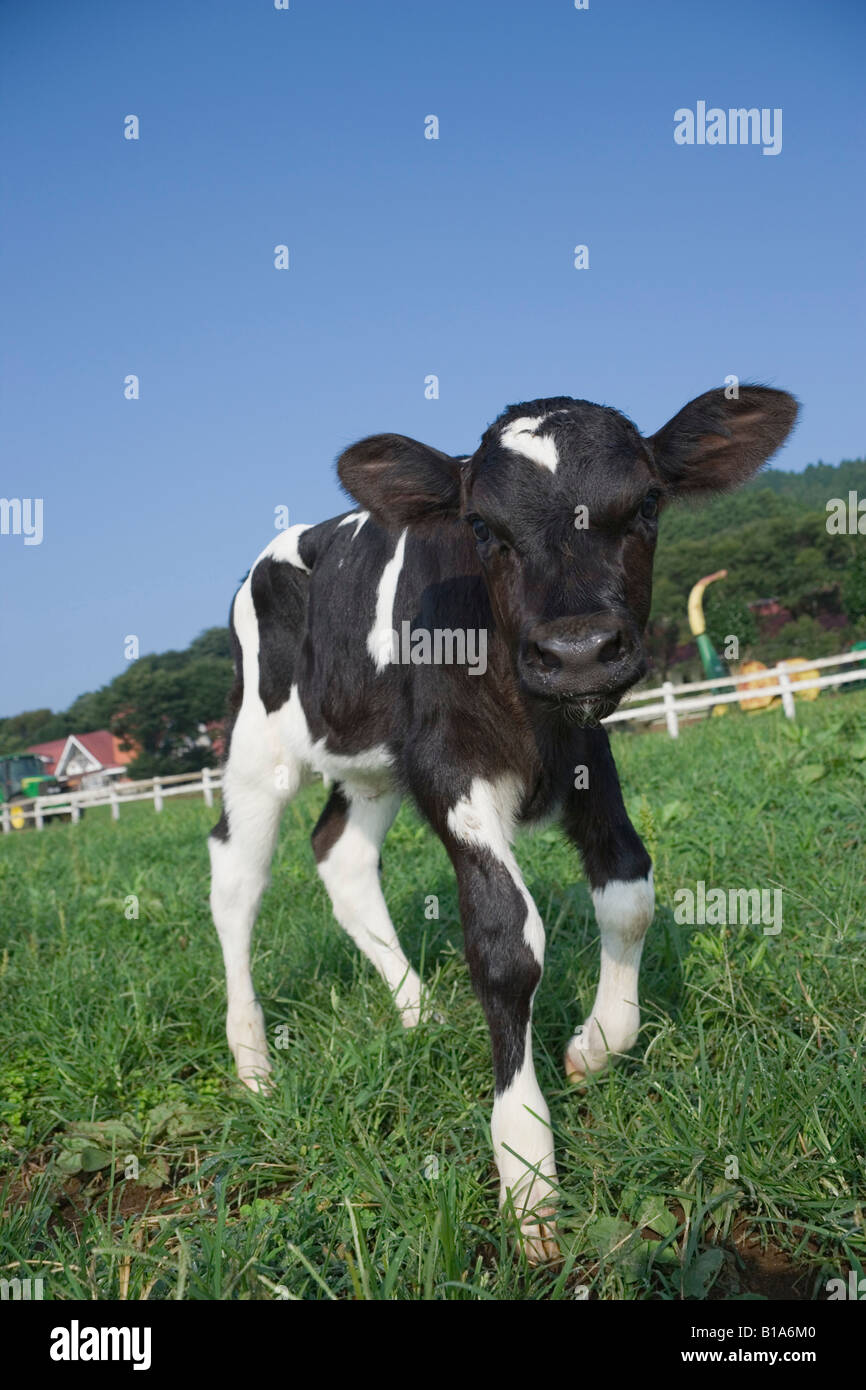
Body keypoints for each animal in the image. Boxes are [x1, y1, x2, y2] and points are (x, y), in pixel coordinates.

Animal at [208, 385, 798, 1261]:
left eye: (648, 503)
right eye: (482, 527)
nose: (578, 649)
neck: (529, 718)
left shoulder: (586, 748)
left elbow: (630, 890)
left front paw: (596, 1043)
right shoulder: (448, 767)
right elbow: (506, 943)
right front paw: (527, 1172)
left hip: (373, 765)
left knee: (340, 856)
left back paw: (417, 1013)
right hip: (256, 748)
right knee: (237, 882)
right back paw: (251, 1059)